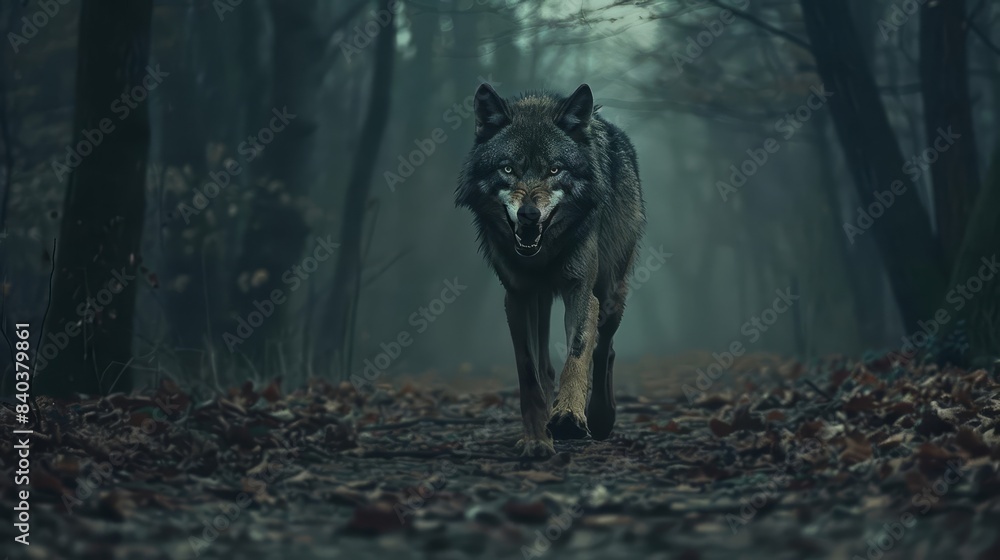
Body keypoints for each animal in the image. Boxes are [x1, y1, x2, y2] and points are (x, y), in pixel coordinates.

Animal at [455, 83, 645, 457]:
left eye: (555, 170)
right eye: (508, 169)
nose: (528, 215)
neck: (541, 255)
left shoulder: (581, 291)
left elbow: (578, 355)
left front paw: (570, 416)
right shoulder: (517, 297)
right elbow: (529, 372)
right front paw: (536, 440)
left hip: (612, 294)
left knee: (605, 349)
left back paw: (600, 417)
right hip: (541, 300)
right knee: (546, 365)